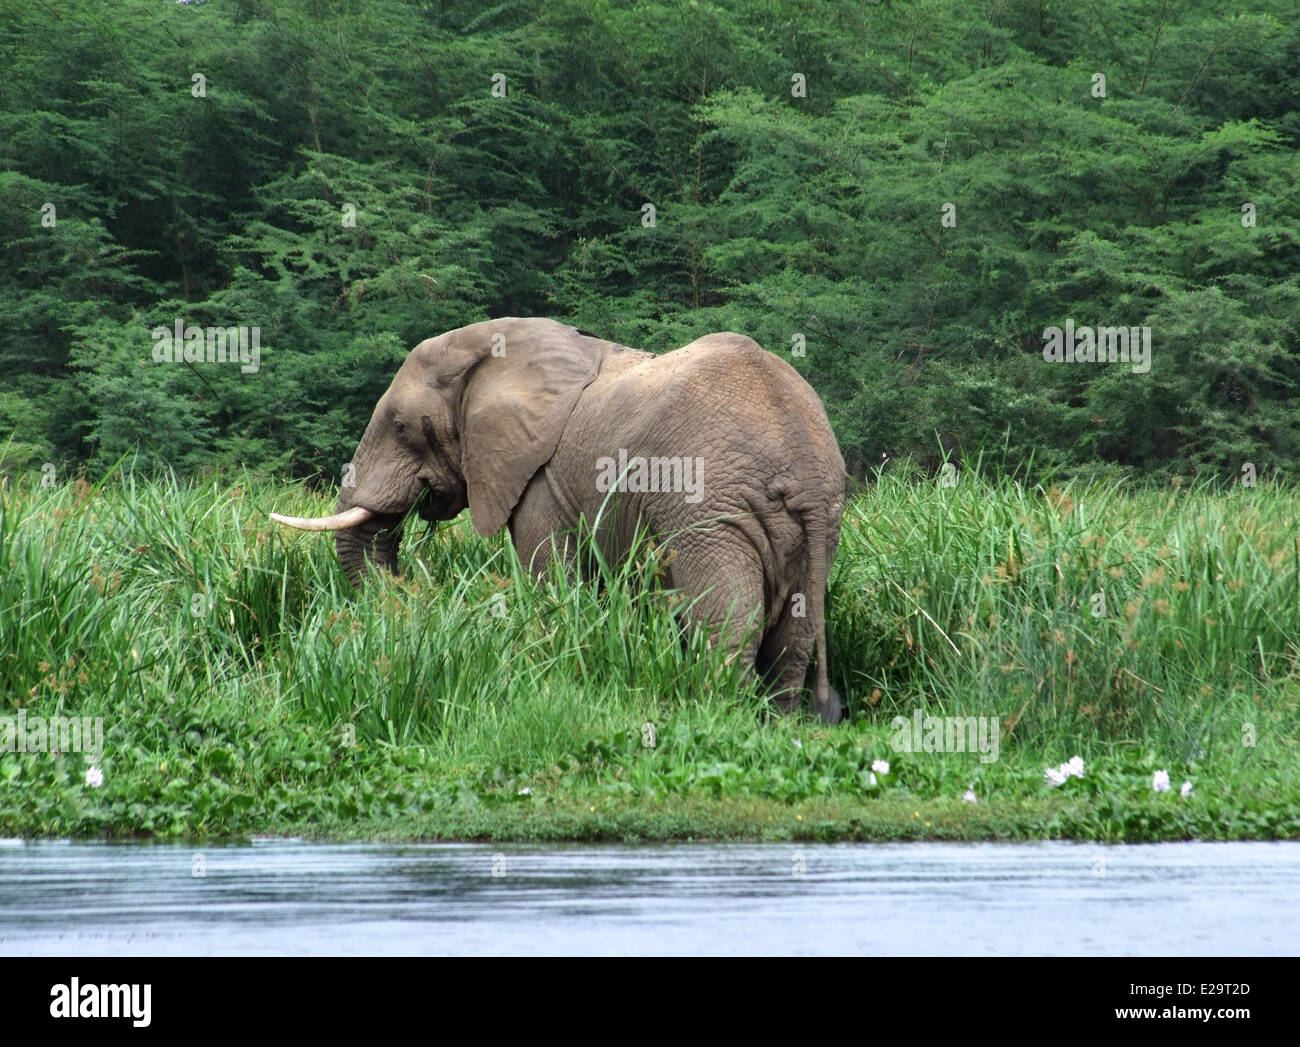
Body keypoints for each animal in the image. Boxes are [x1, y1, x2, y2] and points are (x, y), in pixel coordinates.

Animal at [271, 317, 846, 723]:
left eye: (400, 427)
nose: (417, 602)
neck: (495, 352)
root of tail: (798, 454)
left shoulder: (540, 479)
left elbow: (550, 578)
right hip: (817, 521)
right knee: (795, 634)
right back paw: (778, 724)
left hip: (709, 510)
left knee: (725, 620)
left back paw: (723, 715)